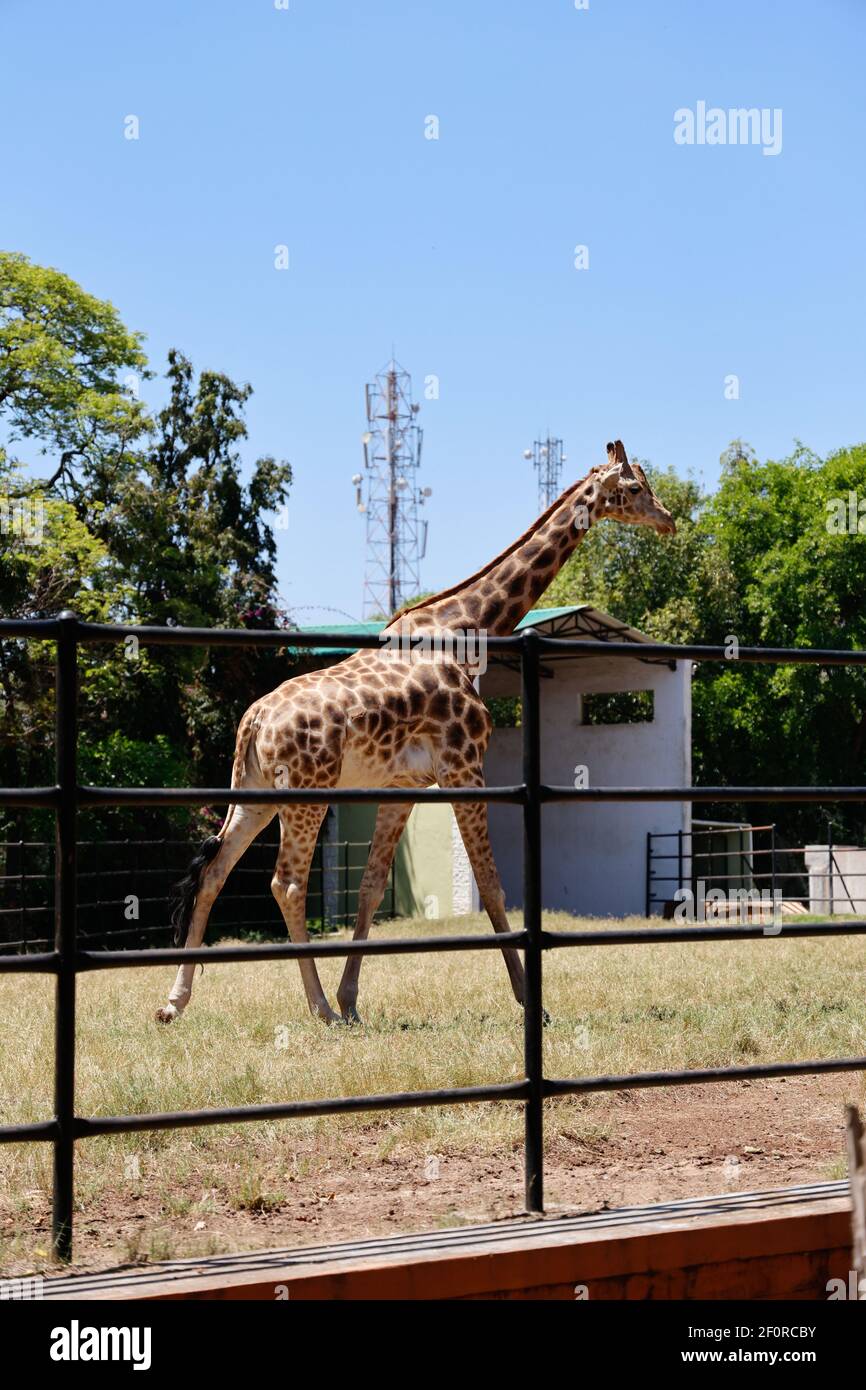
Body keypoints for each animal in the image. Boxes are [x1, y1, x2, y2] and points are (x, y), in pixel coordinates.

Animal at [156, 441, 675, 1025]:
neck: (468, 628)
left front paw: (352, 1000)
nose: (669, 520)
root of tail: (253, 722)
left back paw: (175, 1002)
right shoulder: (464, 767)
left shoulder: (403, 785)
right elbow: (491, 884)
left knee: (215, 870)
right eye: (634, 488)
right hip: (307, 793)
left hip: (253, 793)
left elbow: (371, 886)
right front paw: (529, 1001)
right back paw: (318, 1009)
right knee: (285, 883)